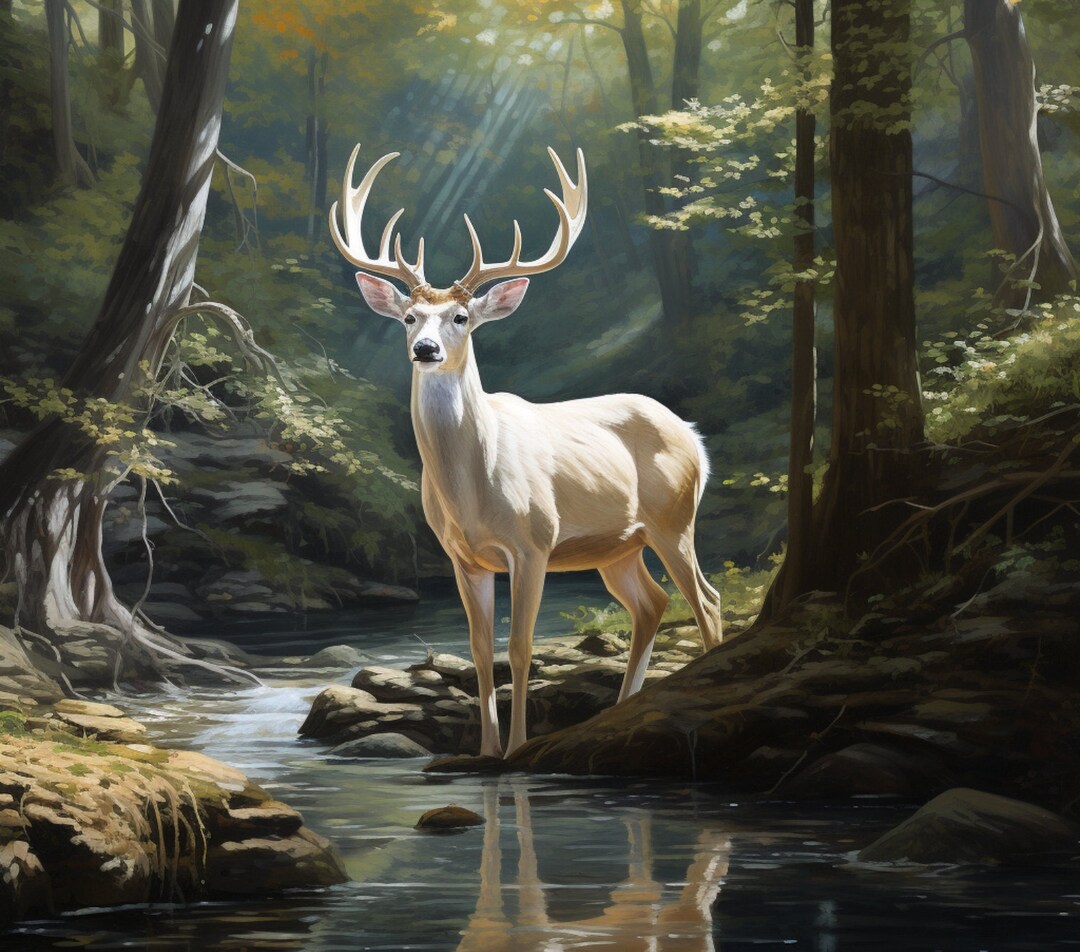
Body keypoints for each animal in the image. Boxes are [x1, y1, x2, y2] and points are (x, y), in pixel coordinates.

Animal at [330, 144, 723, 759]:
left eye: (461, 317)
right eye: (409, 317)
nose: (425, 349)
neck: (472, 488)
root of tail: (694, 437)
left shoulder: (534, 541)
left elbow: (519, 646)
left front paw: (514, 751)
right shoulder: (461, 556)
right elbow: (478, 649)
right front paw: (485, 751)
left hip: (673, 519)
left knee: (706, 600)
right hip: (618, 547)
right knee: (653, 604)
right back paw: (620, 710)